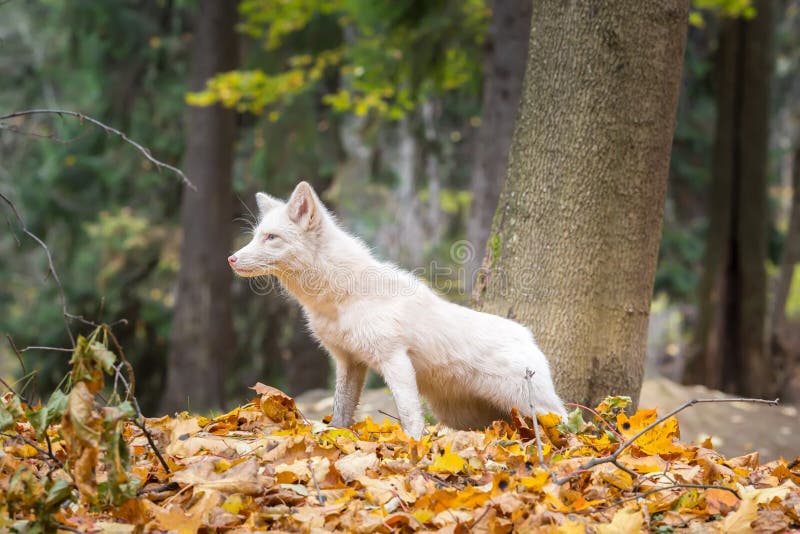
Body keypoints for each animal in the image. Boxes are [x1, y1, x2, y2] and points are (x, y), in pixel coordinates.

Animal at [228, 182, 566, 437]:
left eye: (271, 237)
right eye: (256, 236)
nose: (231, 259)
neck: (341, 299)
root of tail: (527, 335)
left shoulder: (394, 359)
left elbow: (409, 417)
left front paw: (413, 450)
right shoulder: (348, 361)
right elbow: (341, 411)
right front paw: (336, 437)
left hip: (535, 406)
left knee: (570, 423)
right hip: (463, 416)